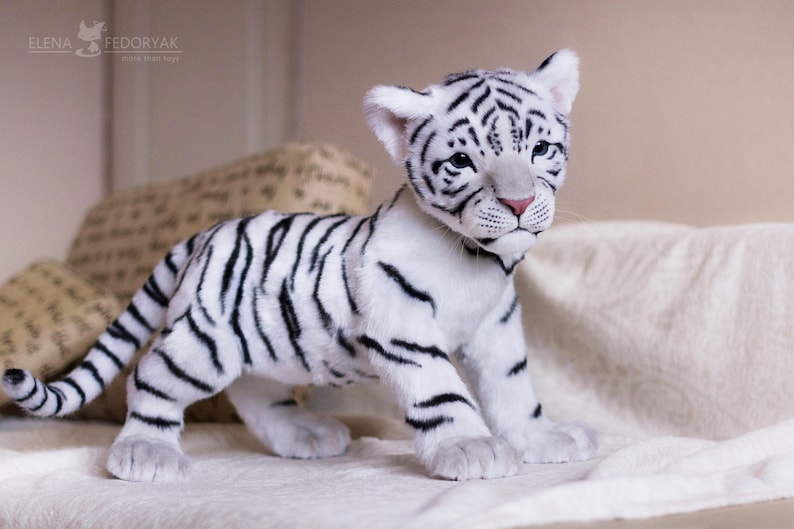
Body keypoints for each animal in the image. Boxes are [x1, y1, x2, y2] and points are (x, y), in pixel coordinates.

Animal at [2, 49, 596, 482]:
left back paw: (307, 436)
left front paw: (543, 438)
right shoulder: (400, 325)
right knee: (151, 376)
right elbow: (441, 391)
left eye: (541, 150)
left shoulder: (496, 328)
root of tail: (204, 233)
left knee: (254, 391)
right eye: (461, 162)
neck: (478, 258)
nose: (519, 202)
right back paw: (147, 453)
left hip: (264, 347)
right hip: (204, 342)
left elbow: (513, 389)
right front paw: (472, 447)